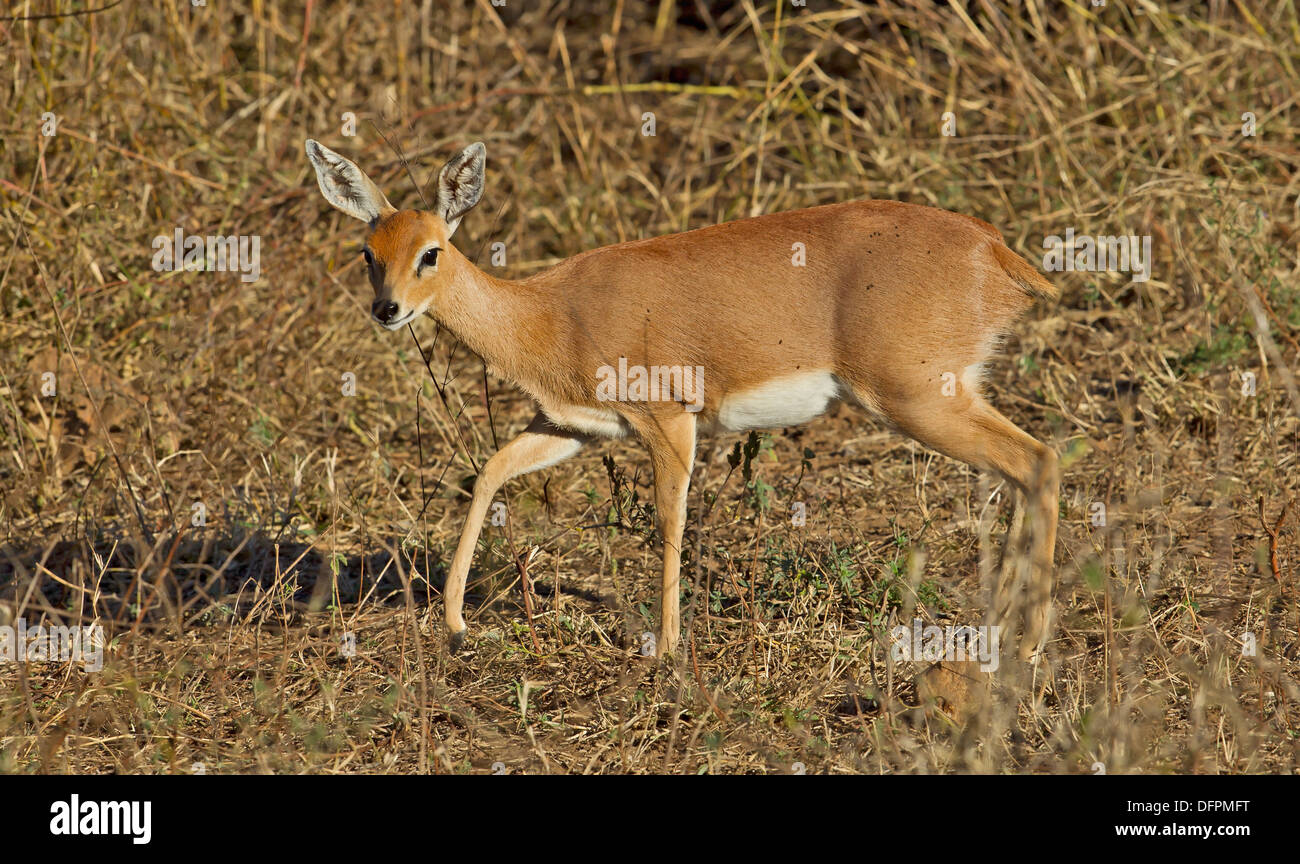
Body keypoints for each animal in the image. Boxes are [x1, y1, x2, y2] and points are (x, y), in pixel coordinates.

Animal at [305, 139, 1060, 662]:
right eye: (368, 251)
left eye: (431, 251)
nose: (387, 310)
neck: (550, 314)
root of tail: (992, 248)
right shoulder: (572, 426)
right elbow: (491, 470)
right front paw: (457, 624)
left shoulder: (667, 420)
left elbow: (669, 517)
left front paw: (665, 648)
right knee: (1029, 470)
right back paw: (1004, 631)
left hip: (919, 399)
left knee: (1040, 462)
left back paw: (1026, 647)